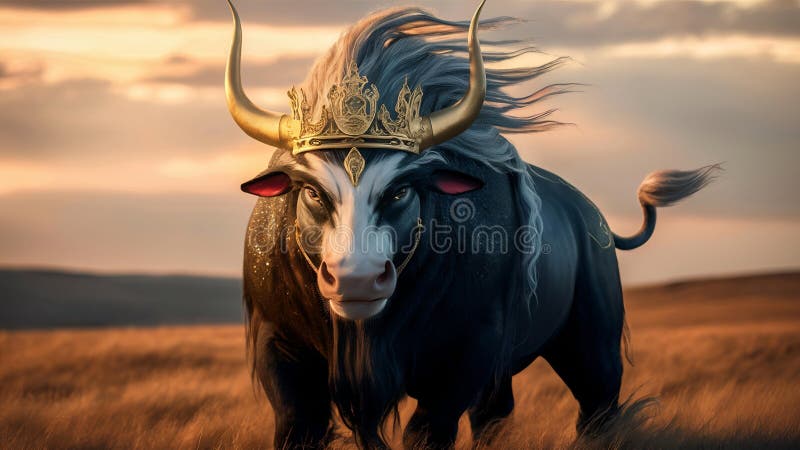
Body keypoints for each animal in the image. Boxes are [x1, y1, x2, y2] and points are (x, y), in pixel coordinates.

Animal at [224, 1, 718, 448]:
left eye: (401, 190)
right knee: (496, 417)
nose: (356, 279)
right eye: (311, 191)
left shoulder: (466, 355)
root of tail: (591, 215)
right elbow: (298, 426)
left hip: (592, 342)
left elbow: (428, 431)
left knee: (598, 410)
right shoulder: (280, 349)